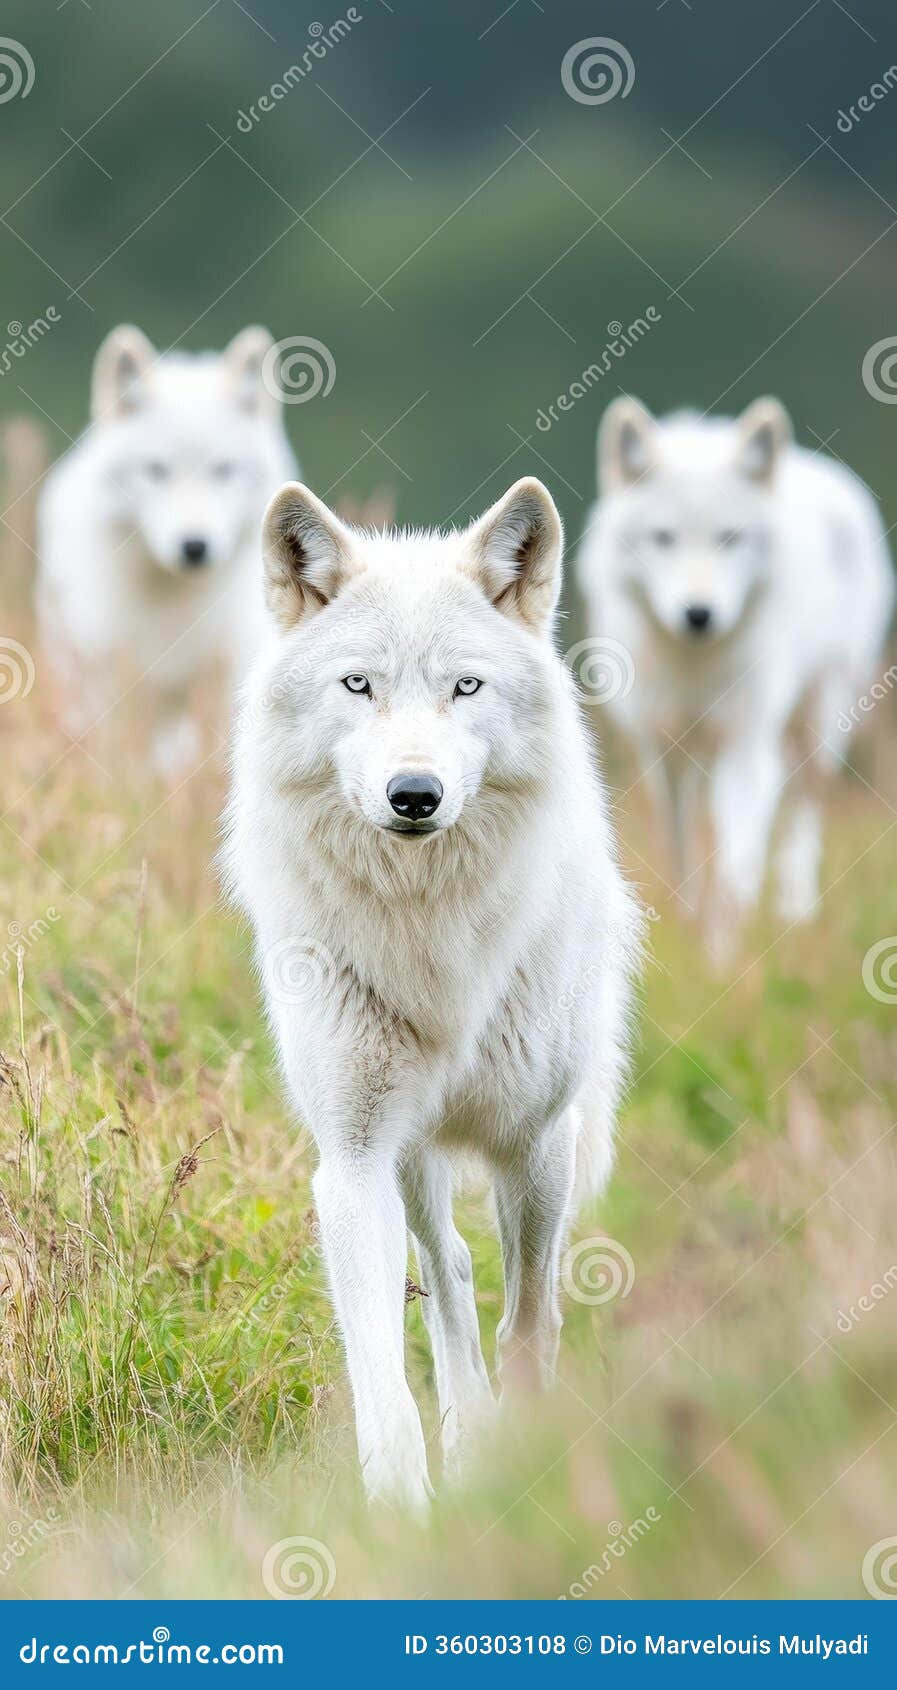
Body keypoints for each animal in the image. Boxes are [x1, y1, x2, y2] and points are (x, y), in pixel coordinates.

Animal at [36, 325, 296, 776]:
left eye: (223, 469)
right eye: (157, 470)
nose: (194, 546)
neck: (174, 601)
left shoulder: (221, 669)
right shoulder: (108, 670)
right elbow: (113, 752)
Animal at [223, 476, 642, 1509]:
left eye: (465, 687)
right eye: (358, 686)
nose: (413, 794)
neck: (429, 929)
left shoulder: (532, 1143)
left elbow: (530, 1322)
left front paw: (531, 1472)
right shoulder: (353, 1161)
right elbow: (383, 1364)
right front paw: (403, 1506)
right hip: (411, 1156)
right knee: (445, 1268)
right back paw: (468, 1432)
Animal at [578, 397, 894, 960]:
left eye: (730, 538)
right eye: (663, 538)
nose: (698, 614)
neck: (693, 665)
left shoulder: (747, 748)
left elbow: (734, 863)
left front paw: (722, 955)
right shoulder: (662, 752)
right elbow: (680, 846)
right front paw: (682, 929)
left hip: (820, 723)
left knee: (800, 820)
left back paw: (795, 916)